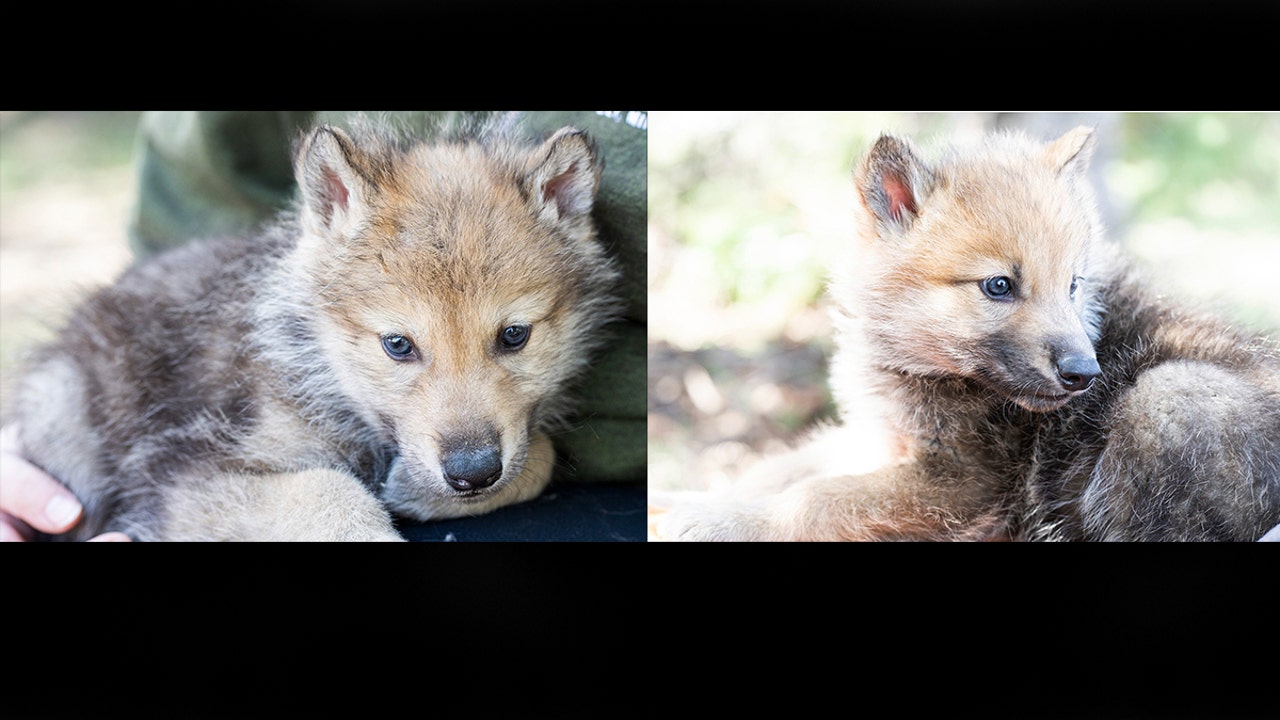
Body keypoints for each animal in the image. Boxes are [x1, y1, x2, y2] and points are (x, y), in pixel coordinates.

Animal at [3, 116, 622, 541]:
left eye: (514, 335)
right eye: (398, 344)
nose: (472, 474)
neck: (322, 371)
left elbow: (539, 456)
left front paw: (412, 490)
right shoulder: (178, 475)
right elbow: (329, 491)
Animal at [650, 126, 1280, 541]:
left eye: (1073, 285)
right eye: (999, 286)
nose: (1086, 375)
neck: (925, 368)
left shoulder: (964, 480)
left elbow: (814, 498)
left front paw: (708, 521)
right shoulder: (881, 438)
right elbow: (778, 468)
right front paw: (681, 500)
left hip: (1171, 394)